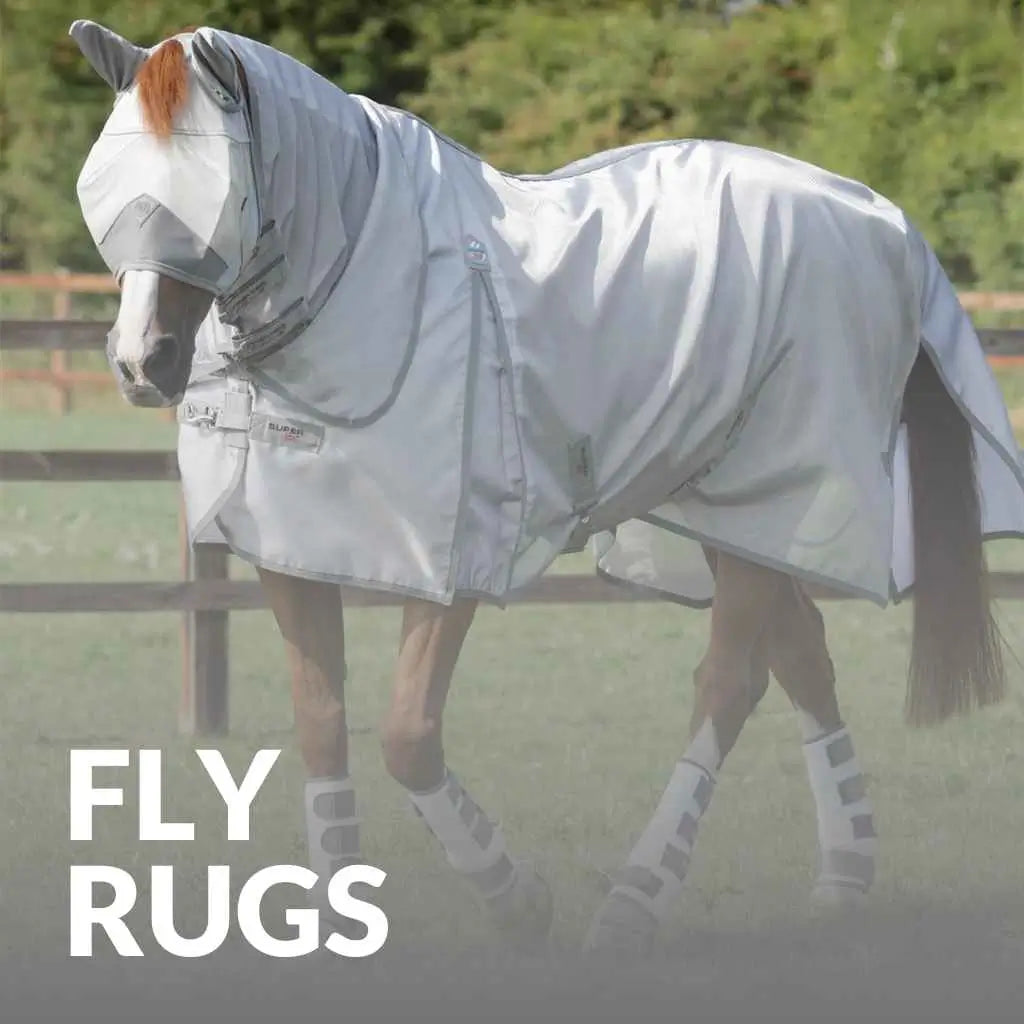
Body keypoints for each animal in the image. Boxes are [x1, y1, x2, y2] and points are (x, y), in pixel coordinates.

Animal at [69, 20, 1024, 956]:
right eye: (107, 182)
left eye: (219, 189)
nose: (142, 360)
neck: (366, 278)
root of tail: (881, 220)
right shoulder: (293, 550)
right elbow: (321, 723)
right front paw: (335, 925)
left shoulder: (454, 558)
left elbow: (408, 737)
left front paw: (518, 902)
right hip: (731, 516)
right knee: (802, 662)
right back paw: (843, 878)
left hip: (777, 492)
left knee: (729, 683)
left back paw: (636, 903)